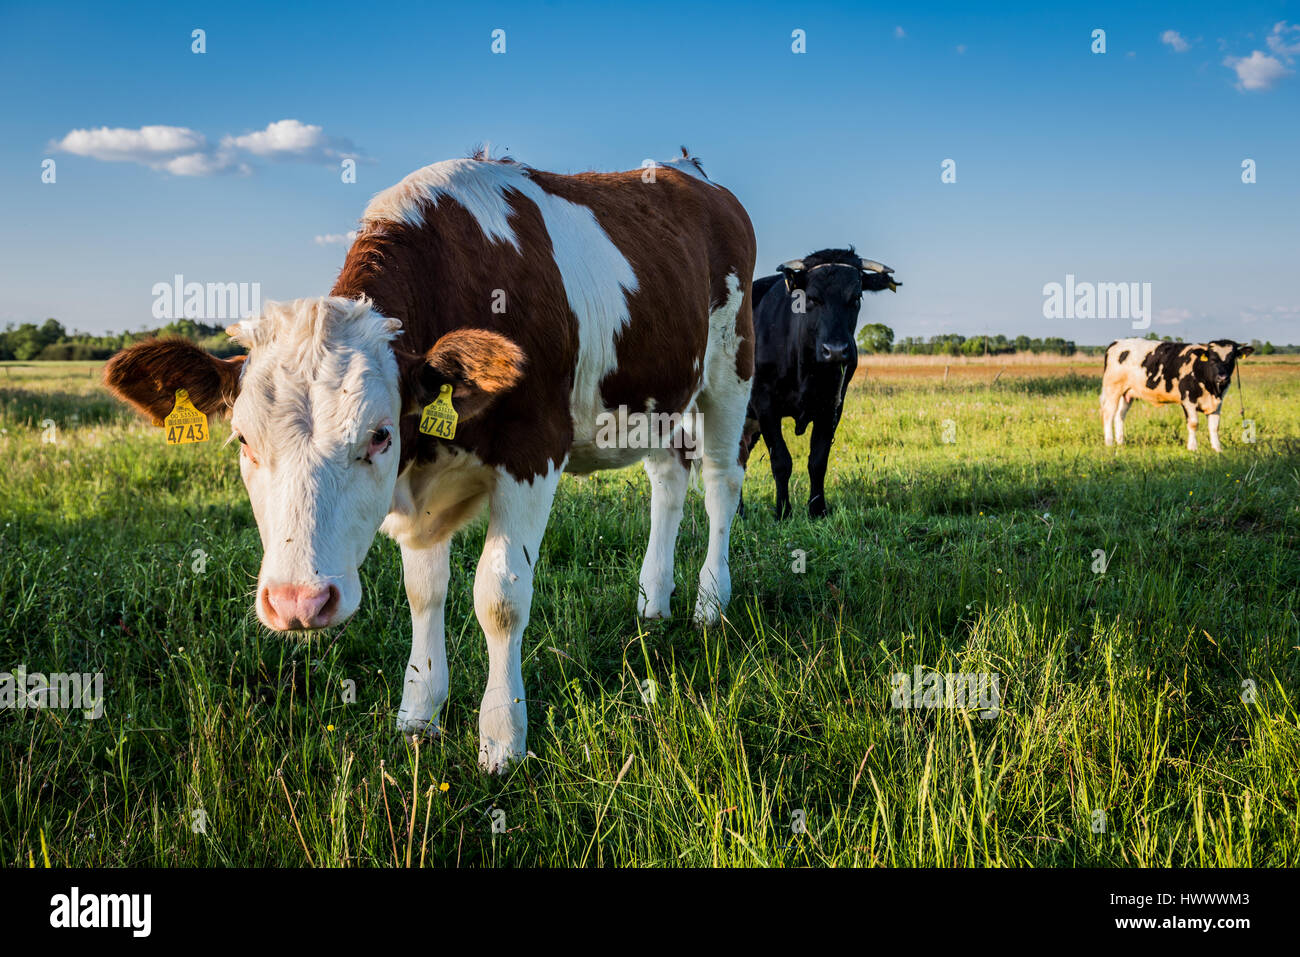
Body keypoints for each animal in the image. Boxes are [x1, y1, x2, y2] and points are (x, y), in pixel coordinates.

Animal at [103, 150, 756, 772]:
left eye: (379, 435)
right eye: (242, 440)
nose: (298, 603)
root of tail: (688, 169)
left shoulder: (533, 450)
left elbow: (500, 597)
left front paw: (502, 738)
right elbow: (424, 591)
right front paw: (419, 712)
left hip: (732, 368)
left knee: (721, 482)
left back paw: (709, 604)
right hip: (662, 400)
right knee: (669, 480)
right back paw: (653, 601)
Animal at [740, 248, 898, 518]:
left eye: (856, 297)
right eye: (812, 298)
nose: (835, 350)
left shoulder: (832, 405)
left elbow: (818, 460)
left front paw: (817, 509)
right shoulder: (764, 403)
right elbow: (781, 461)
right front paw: (783, 512)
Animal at [1101, 338, 1253, 451]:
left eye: (1231, 358)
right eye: (1212, 358)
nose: (1222, 377)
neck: (1212, 389)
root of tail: (1117, 342)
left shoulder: (1218, 402)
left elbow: (1214, 426)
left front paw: (1217, 449)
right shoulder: (1188, 400)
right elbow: (1193, 423)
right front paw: (1192, 448)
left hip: (1127, 393)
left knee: (1120, 416)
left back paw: (1120, 442)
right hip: (1112, 388)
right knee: (1108, 414)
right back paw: (1109, 442)